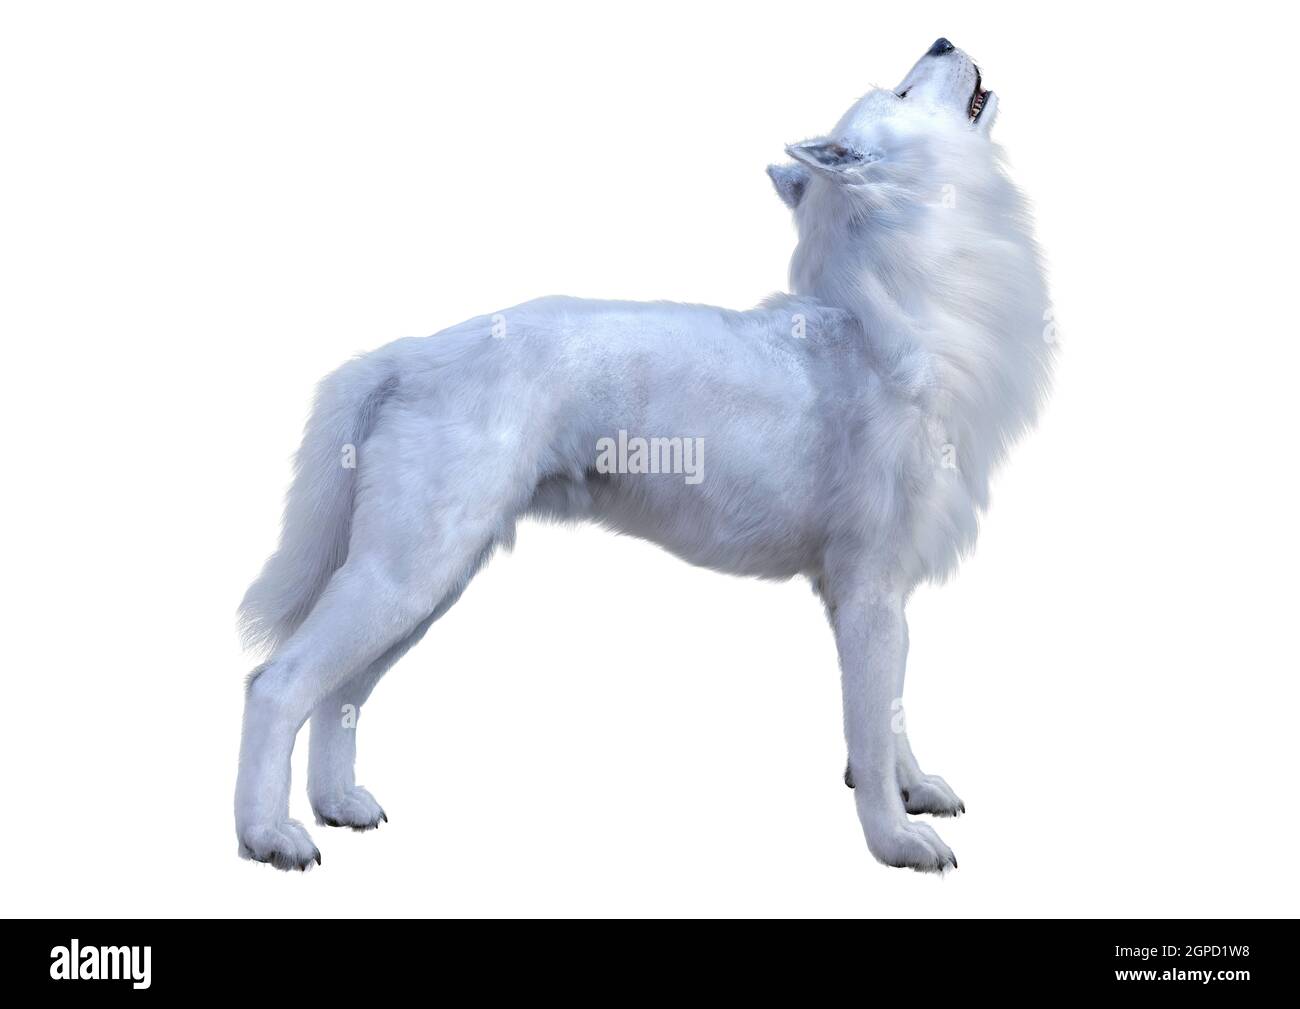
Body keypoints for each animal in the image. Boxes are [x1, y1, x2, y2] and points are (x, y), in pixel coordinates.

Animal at [235, 38, 1053, 873]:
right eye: (903, 91)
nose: (943, 41)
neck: (887, 320)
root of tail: (406, 354)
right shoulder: (869, 592)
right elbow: (870, 728)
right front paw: (896, 840)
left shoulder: (871, 597)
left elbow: (888, 721)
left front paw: (915, 789)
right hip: (403, 576)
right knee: (276, 684)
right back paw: (270, 835)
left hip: (423, 587)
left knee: (339, 694)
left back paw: (339, 805)